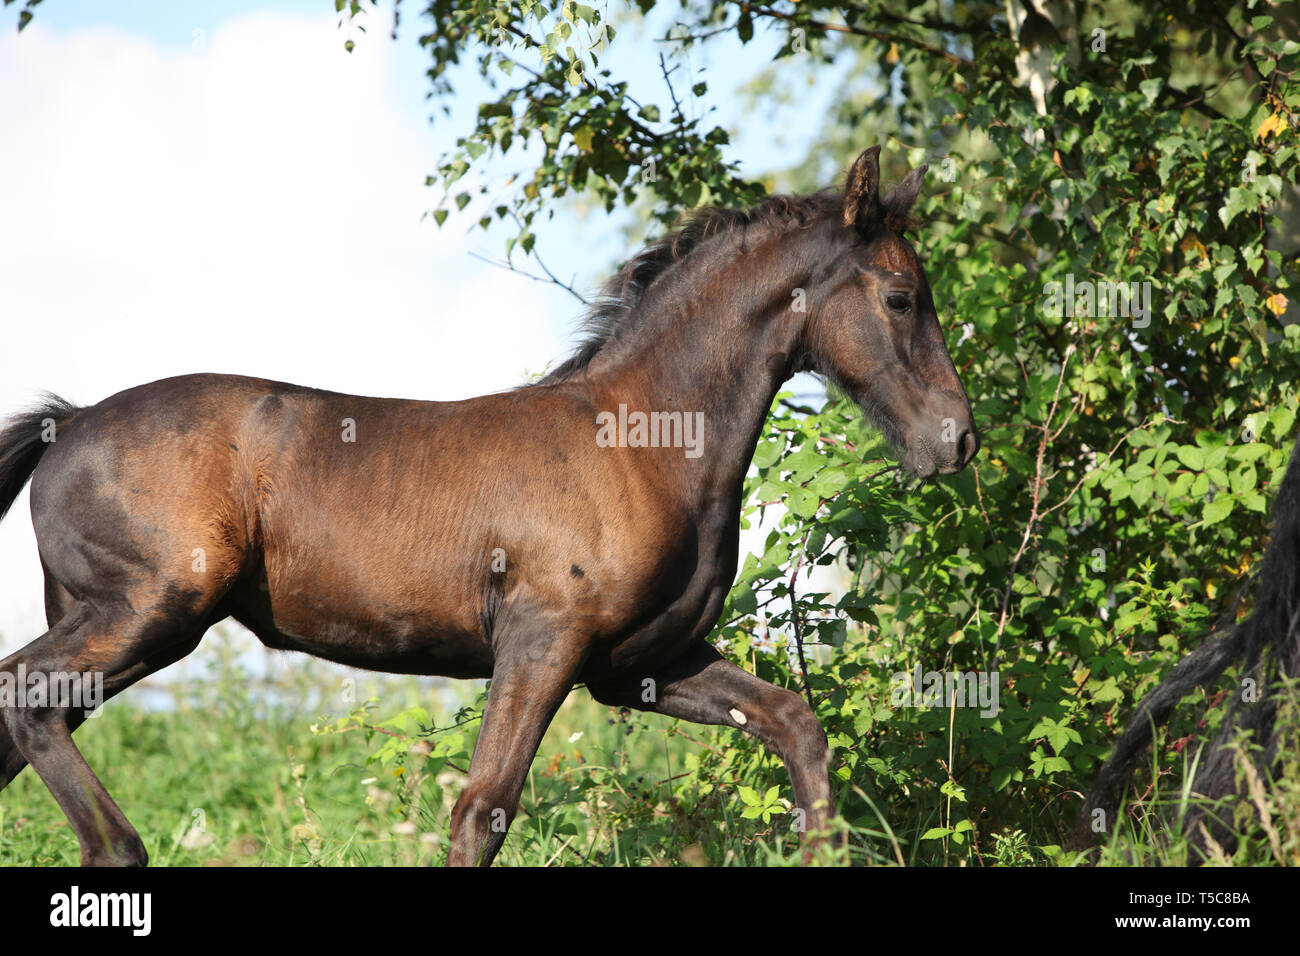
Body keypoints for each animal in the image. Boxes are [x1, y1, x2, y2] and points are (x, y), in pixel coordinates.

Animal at [0, 146, 978, 866]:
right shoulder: (542, 643)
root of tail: (69, 423)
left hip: (115, 623)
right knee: (26, 696)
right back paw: (120, 851)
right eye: (901, 297)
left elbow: (797, 727)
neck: (639, 442)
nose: (957, 441)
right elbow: (484, 808)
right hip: (150, 610)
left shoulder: (640, 664)